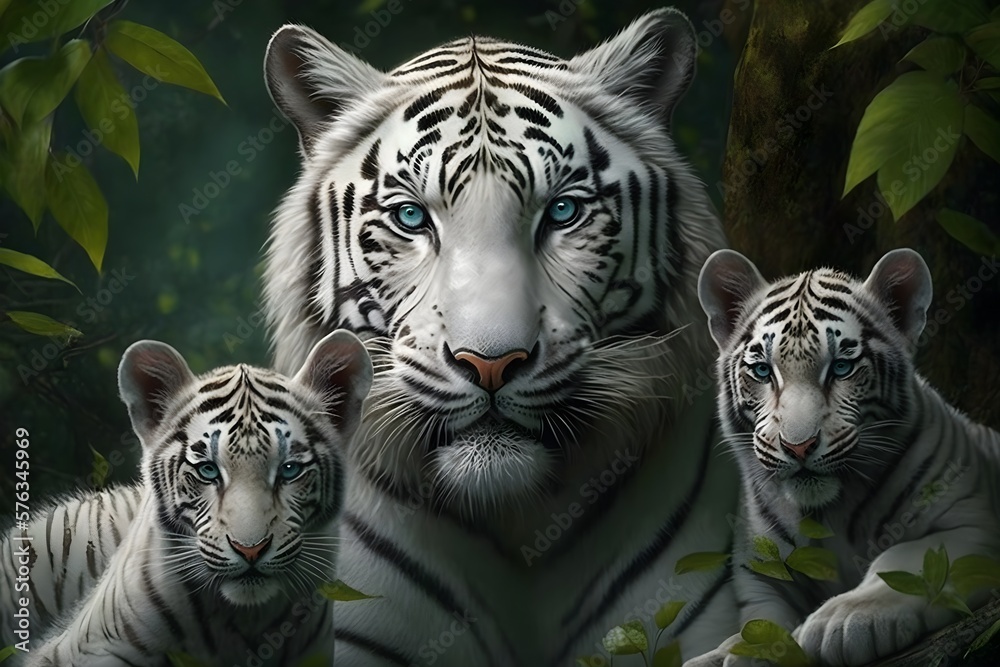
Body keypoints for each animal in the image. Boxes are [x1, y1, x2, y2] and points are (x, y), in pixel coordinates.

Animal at [685, 248, 1000, 667]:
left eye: (841, 367)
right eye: (763, 371)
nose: (798, 446)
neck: (828, 514)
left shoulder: (972, 523)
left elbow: (905, 557)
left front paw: (840, 622)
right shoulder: (762, 575)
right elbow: (758, 621)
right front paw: (731, 653)